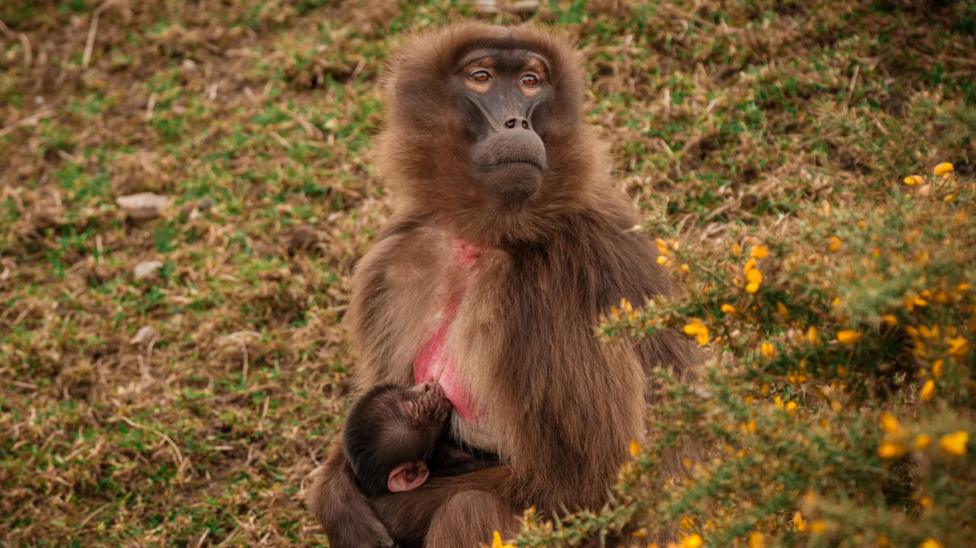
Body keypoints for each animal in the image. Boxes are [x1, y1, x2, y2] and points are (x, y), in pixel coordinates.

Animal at [306, 22, 698, 548]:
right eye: (482, 77)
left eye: (530, 82)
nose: (516, 123)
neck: (487, 239)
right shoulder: (395, 264)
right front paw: (336, 495)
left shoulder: (551, 295)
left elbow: (588, 492)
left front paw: (376, 506)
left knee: (468, 510)